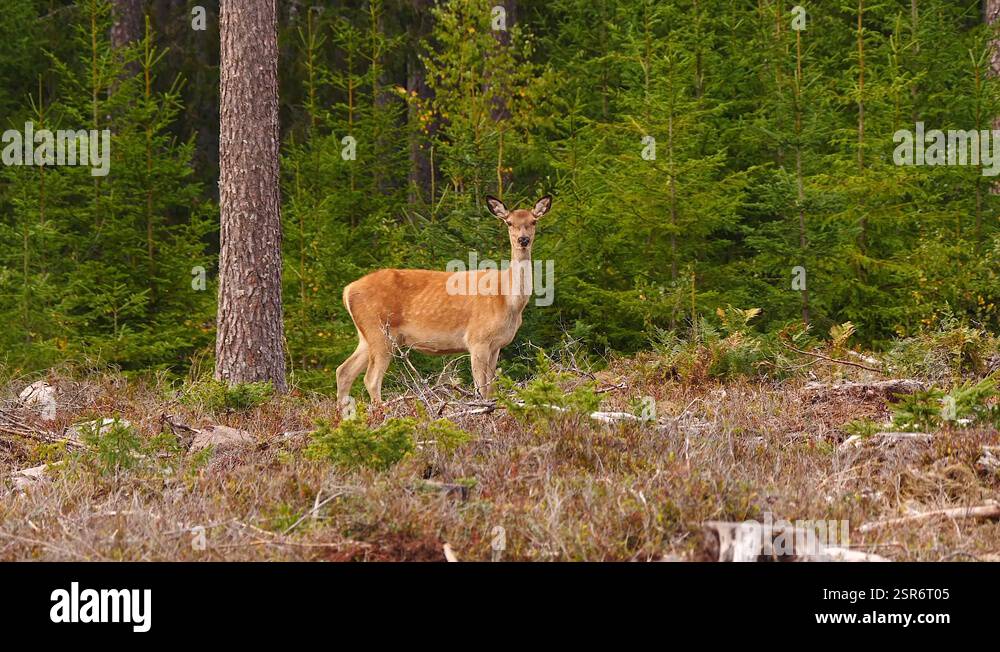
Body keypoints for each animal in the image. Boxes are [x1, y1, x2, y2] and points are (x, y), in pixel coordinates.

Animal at [336, 195, 552, 408]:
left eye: (533, 221)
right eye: (509, 222)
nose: (523, 240)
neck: (508, 301)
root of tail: (347, 290)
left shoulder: (496, 345)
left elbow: (491, 387)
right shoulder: (477, 339)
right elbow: (481, 388)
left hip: (367, 336)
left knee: (343, 371)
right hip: (379, 331)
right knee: (371, 379)